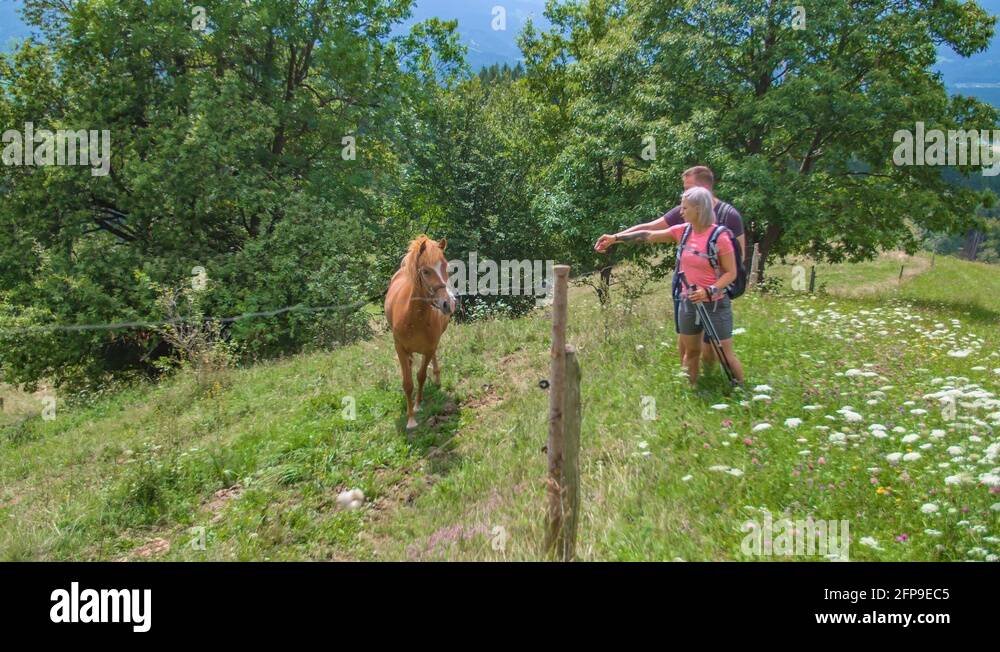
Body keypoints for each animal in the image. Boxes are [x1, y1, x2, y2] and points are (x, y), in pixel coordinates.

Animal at [385, 236, 457, 430]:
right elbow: (408, 383)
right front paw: (410, 419)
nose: (448, 303)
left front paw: (417, 405)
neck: (413, 317)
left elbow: (421, 376)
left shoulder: (430, 347)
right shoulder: (400, 348)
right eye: (425, 271)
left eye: (446, 267)